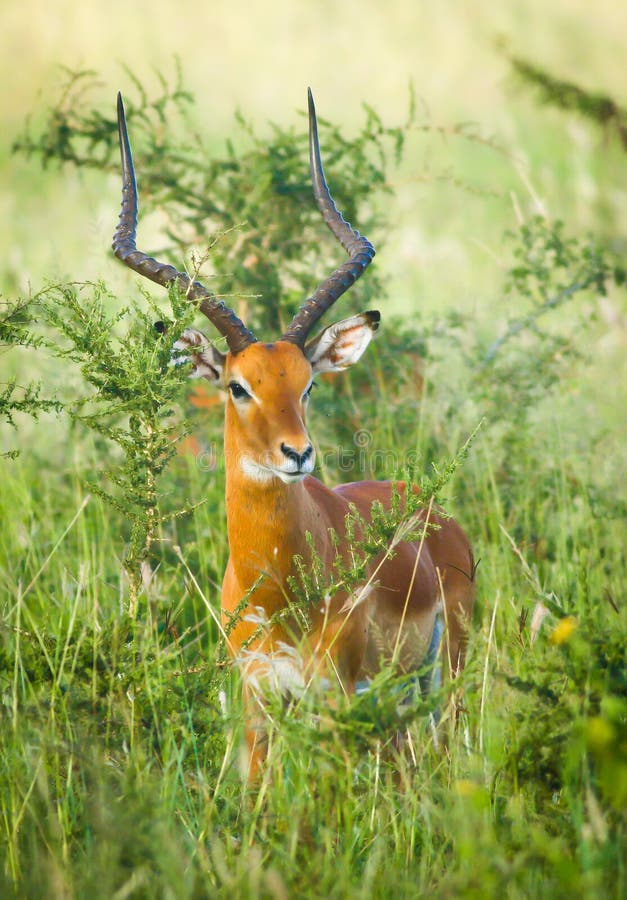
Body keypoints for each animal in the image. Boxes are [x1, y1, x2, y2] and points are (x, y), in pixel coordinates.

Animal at [113, 90, 475, 776]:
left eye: (307, 384)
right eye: (238, 386)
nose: (297, 454)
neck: (278, 585)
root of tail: (433, 513)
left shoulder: (334, 694)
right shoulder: (257, 697)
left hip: (441, 676)